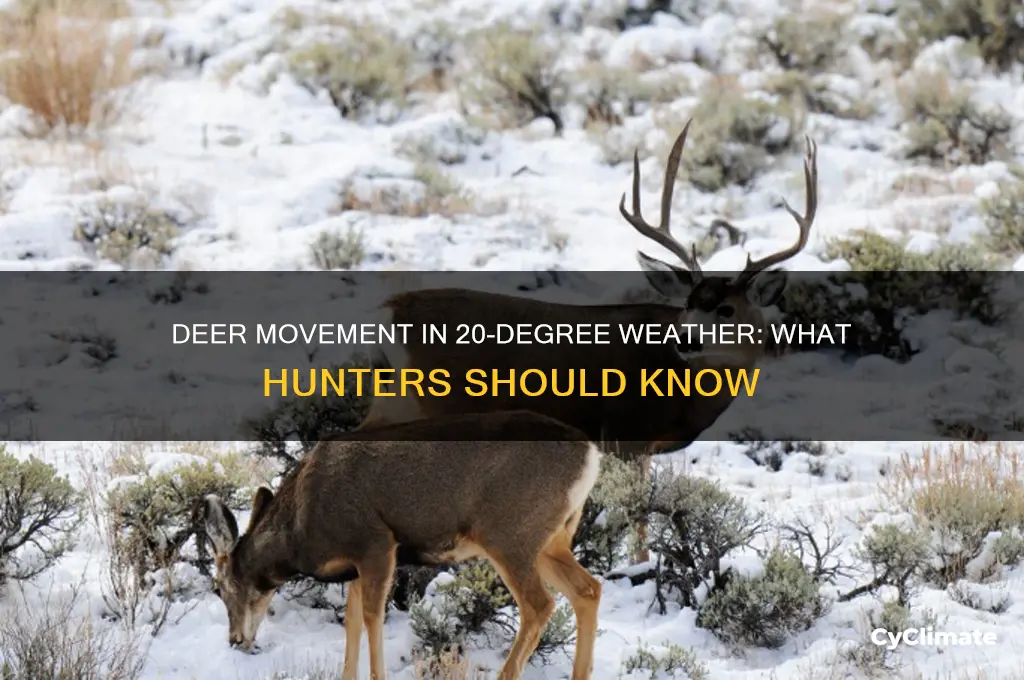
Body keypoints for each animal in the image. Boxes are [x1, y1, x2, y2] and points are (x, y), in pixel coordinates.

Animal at [202, 410, 603, 680]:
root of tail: (591, 455)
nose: (234, 639)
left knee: (540, 604)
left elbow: (371, 617)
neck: (301, 528)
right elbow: (352, 621)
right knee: (588, 589)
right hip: (551, 538)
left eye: (219, 589)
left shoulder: (376, 542)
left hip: (510, 533)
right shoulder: (355, 565)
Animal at [354, 119, 819, 564]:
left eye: (726, 309)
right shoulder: (626, 432)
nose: (685, 338)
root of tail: (389, 308)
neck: (685, 390)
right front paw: (638, 567)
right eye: (689, 302)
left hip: (396, 396)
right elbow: (636, 515)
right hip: (439, 400)